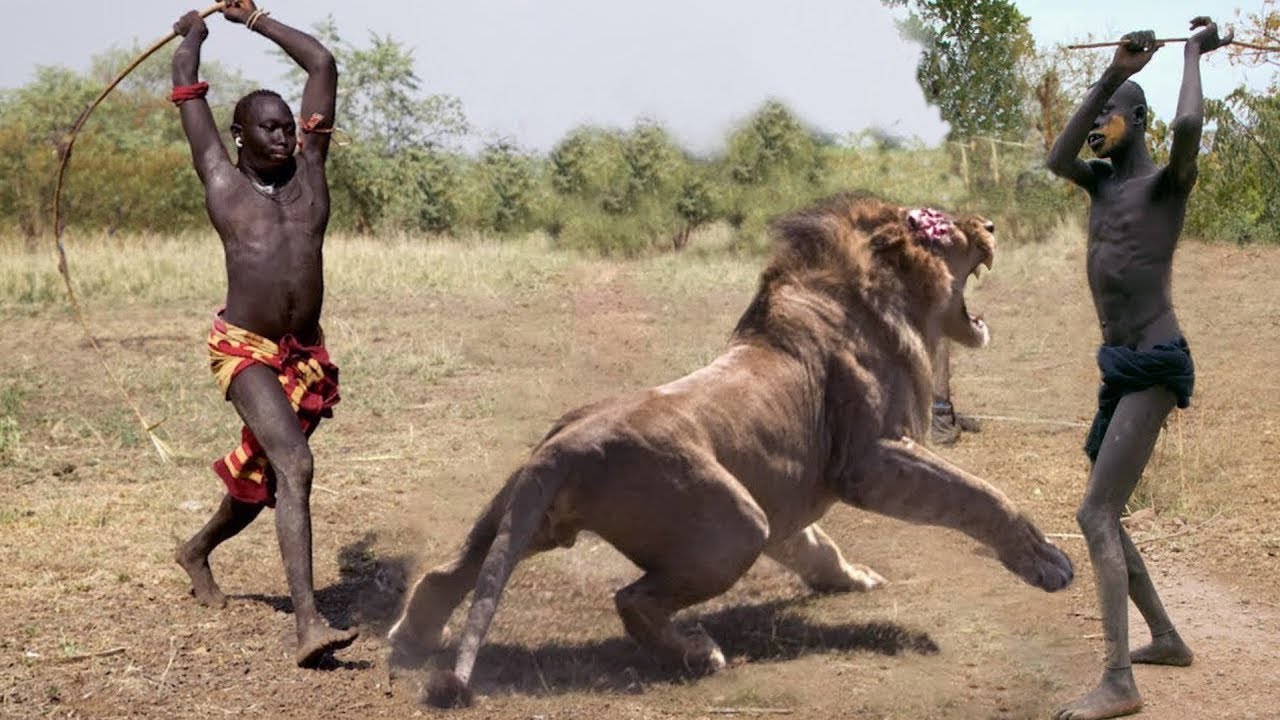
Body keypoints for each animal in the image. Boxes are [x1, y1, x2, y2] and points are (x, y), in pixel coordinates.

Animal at [387, 193, 1073, 708]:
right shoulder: (869, 459)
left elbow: (816, 545)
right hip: (736, 523)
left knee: (444, 574)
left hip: (529, 518)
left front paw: (853, 578)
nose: (991, 225)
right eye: (948, 225)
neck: (887, 298)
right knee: (631, 599)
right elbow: (980, 494)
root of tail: (562, 449)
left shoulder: (786, 494)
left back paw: (408, 642)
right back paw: (698, 653)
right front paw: (1047, 562)